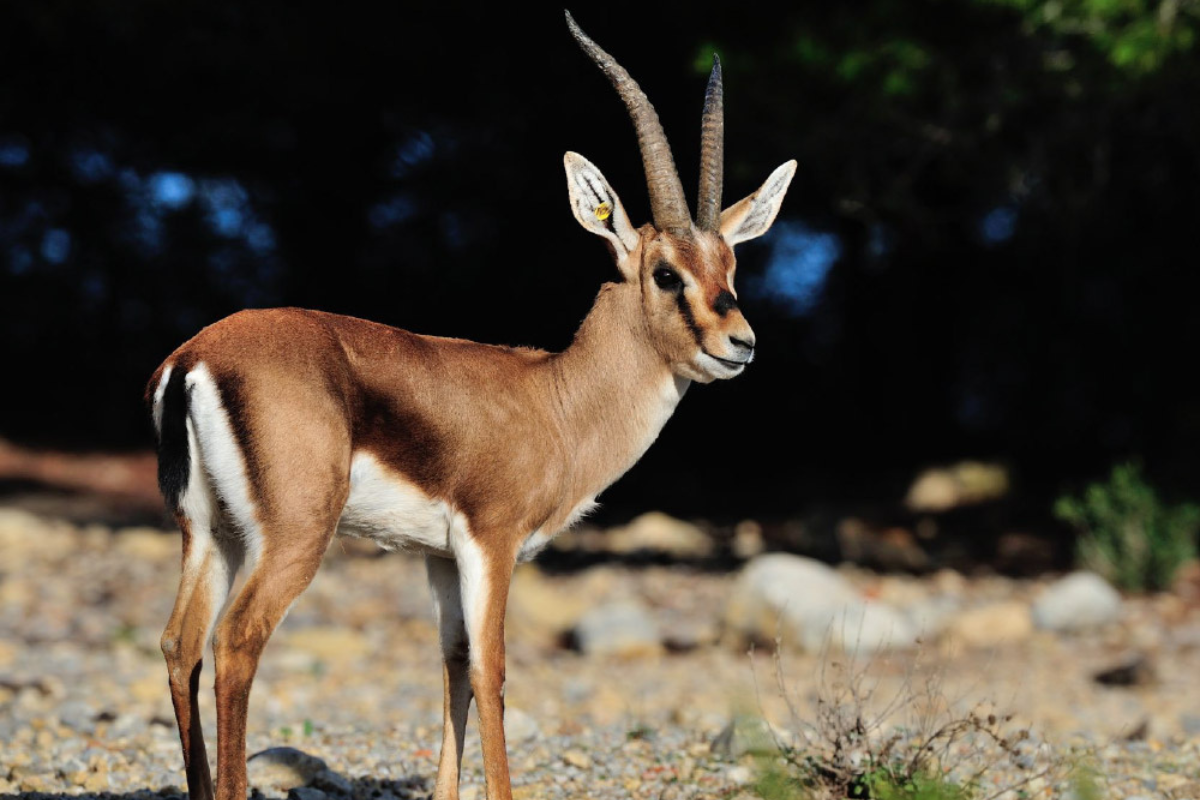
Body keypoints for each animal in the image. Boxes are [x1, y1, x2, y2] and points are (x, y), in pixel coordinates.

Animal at [147, 12, 794, 800]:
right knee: (237, 643)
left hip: (211, 534)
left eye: (730, 265)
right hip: (291, 539)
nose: (742, 343)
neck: (558, 400)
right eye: (667, 274)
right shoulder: (493, 542)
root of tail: (195, 356)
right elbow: (492, 671)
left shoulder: (438, 558)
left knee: (180, 644)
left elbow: (453, 664)